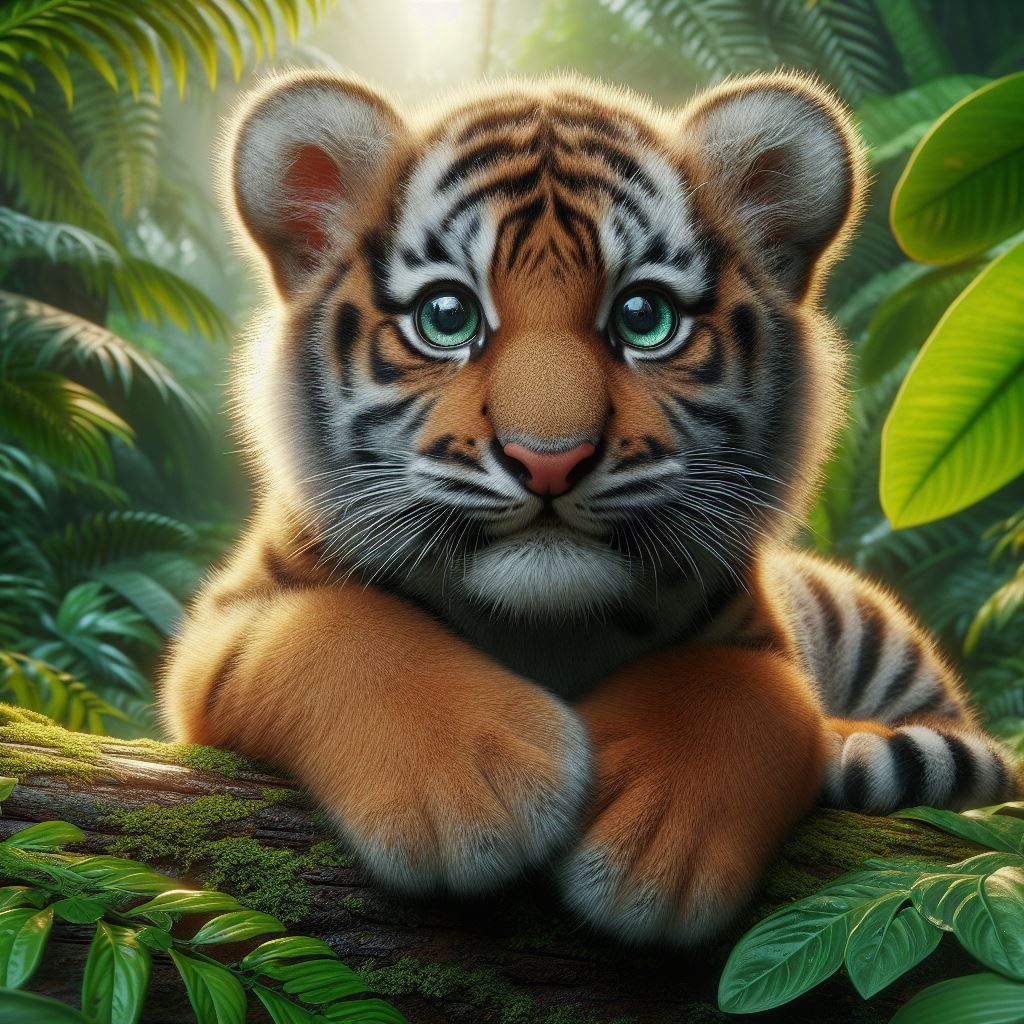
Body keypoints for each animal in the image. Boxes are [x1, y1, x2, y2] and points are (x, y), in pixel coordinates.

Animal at [160, 69, 1019, 946]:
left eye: (644, 318)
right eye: (447, 317)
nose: (550, 458)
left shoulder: (754, 634)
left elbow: (738, 692)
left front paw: (650, 845)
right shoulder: (226, 625)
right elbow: (334, 632)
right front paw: (472, 786)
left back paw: (853, 745)